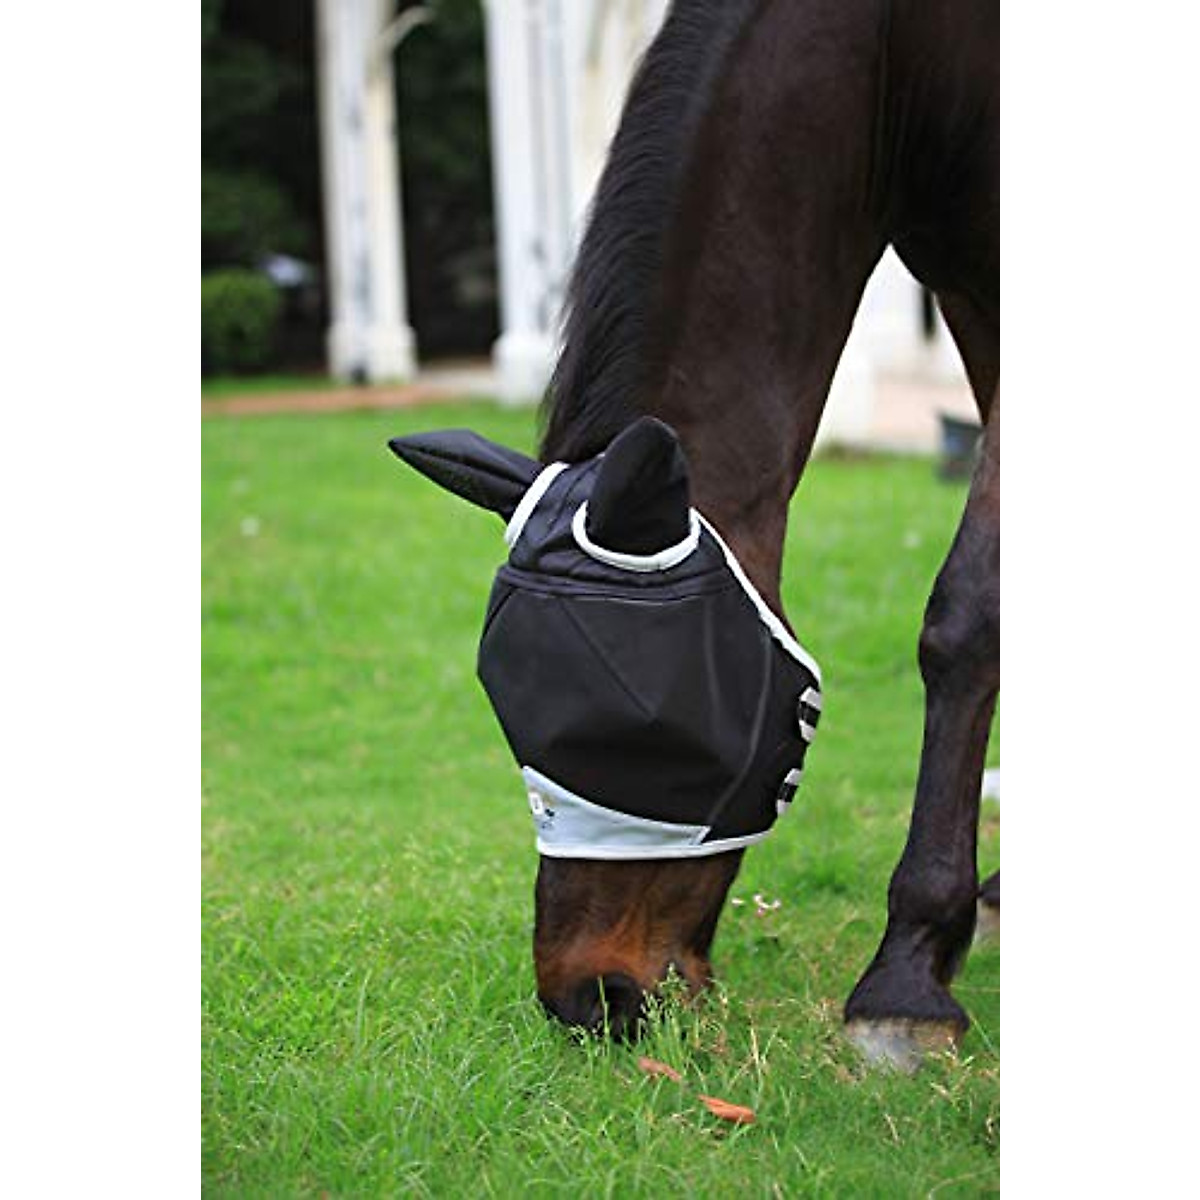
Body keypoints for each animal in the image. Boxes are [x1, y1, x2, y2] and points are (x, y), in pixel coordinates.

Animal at [398, 0, 998, 1069]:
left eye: (653, 734)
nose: (585, 997)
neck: (906, 49)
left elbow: (970, 609)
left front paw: (908, 973)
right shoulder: (969, 280)